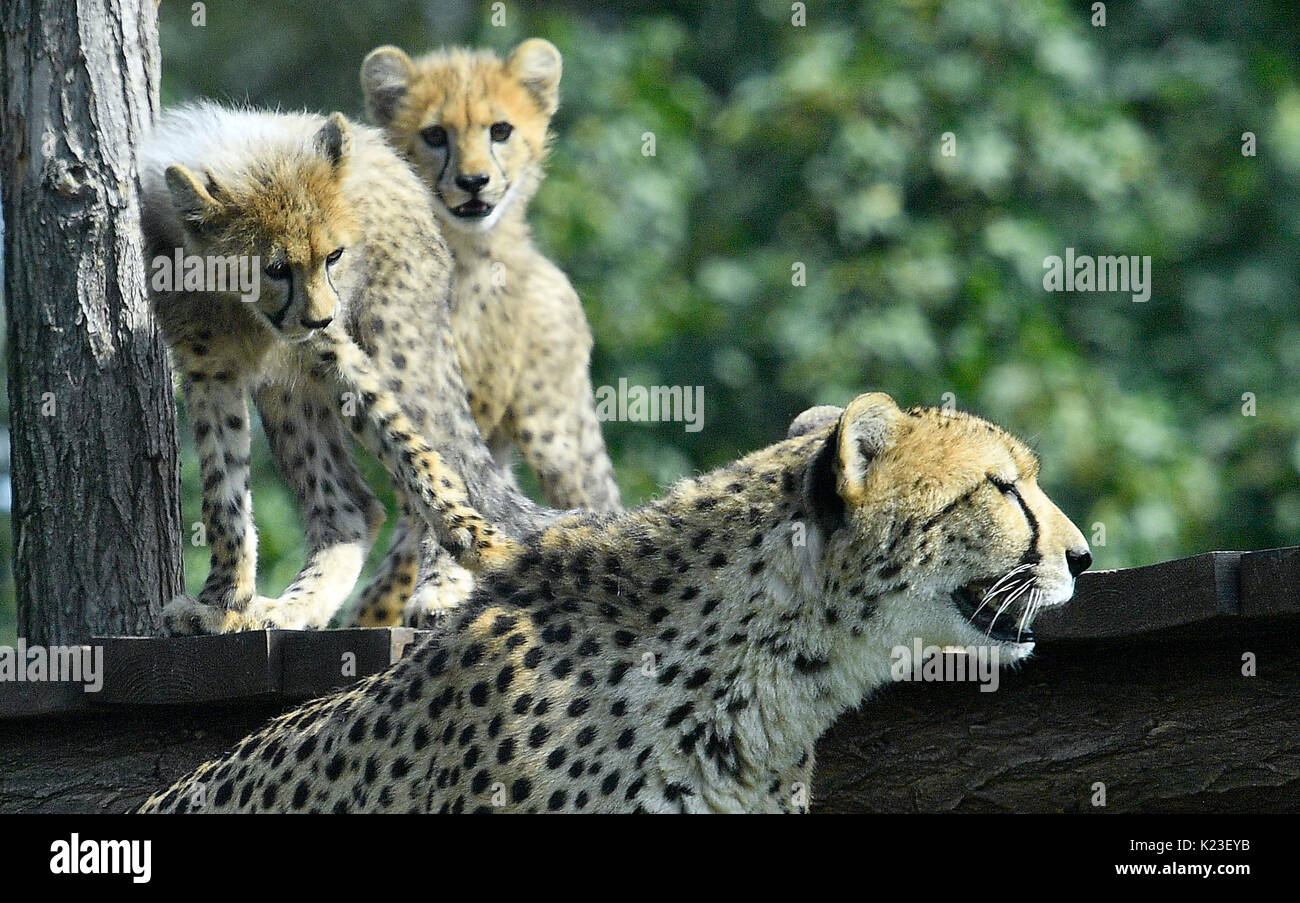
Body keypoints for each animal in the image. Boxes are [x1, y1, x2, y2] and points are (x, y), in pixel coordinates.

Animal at [138, 102, 553, 634]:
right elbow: (222, 493)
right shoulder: (210, 372)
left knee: (448, 459)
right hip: (288, 395)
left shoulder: (334, 350)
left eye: (333, 256)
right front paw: (223, 603)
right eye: (276, 268)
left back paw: (441, 587)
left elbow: (417, 456)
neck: (240, 308)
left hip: (401, 345)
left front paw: (484, 546)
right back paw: (293, 608)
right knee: (351, 507)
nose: (319, 317)